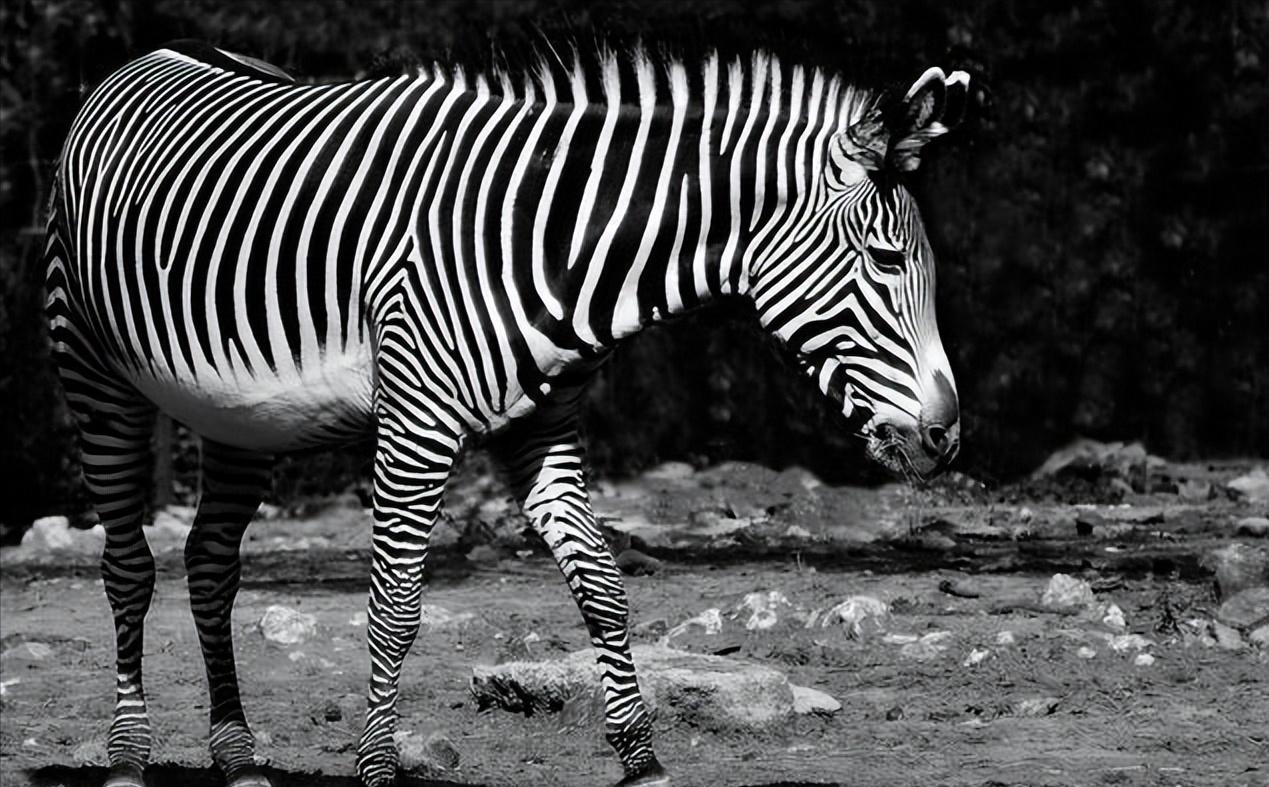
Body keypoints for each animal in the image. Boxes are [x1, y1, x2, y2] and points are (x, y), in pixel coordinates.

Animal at [43, 39, 969, 787]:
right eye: (887, 259)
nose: (944, 436)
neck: (559, 249)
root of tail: (146, 58)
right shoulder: (415, 420)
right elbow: (395, 606)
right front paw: (377, 768)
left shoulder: (542, 425)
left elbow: (602, 586)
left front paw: (642, 759)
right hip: (93, 376)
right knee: (128, 567)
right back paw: (126, 756)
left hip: (243, 413)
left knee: (209, 563)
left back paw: (237, 756)